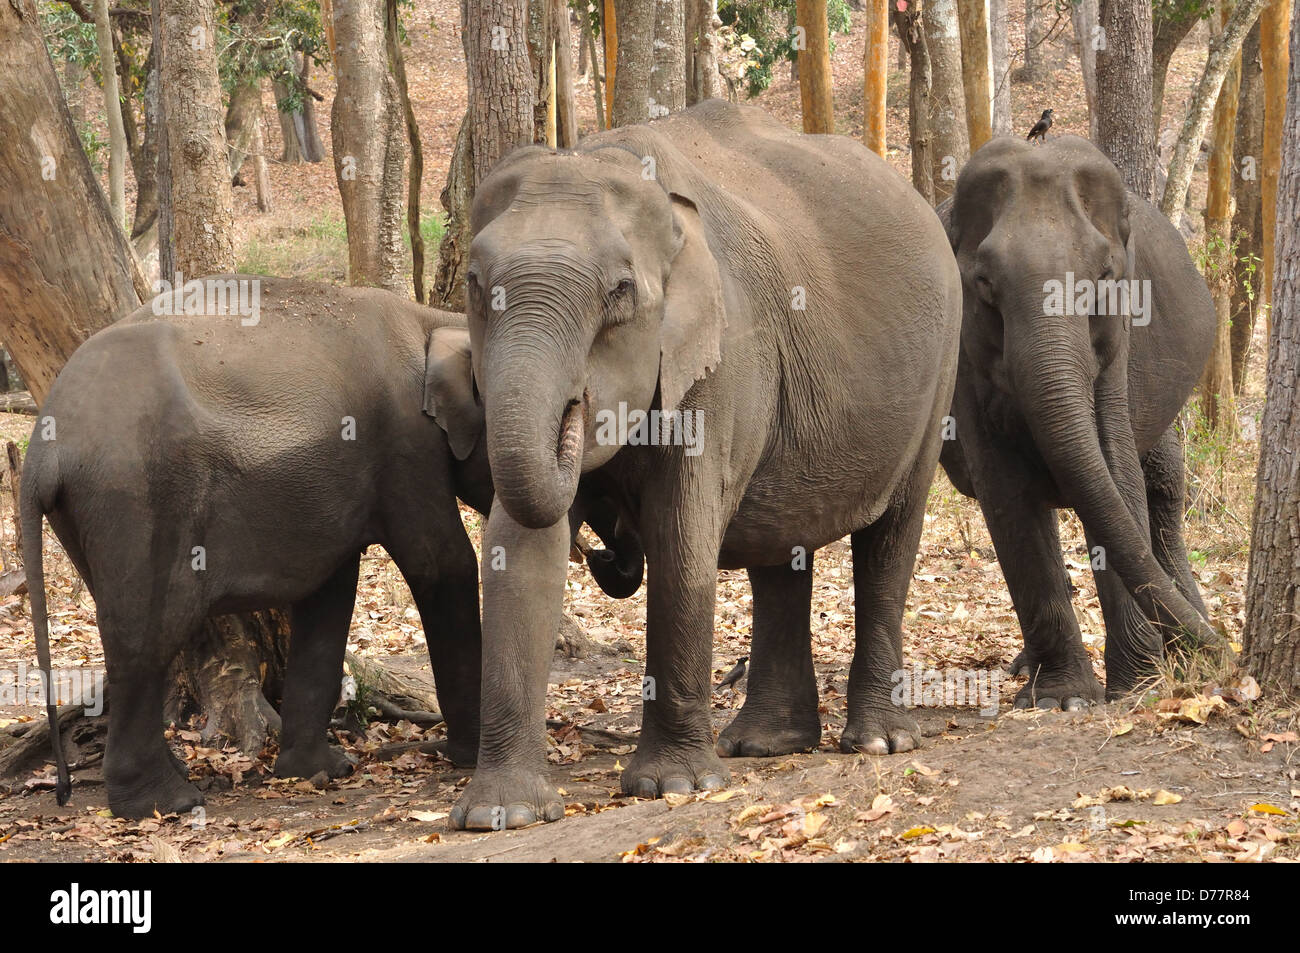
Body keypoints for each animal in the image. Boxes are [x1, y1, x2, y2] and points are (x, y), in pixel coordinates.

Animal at [23, 276, 642, 820]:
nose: (607, 554)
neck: (432, 320)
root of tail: (41, 451)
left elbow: (330, 594)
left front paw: (321, 772)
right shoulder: (405, 442)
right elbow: (443, 564)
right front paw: (463, 759)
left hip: (89, 517)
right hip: (133, 498)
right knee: (147, 637)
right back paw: (167, 803)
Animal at [449, 100, 963, 830]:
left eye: (620, 294)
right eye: (473, 285)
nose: (607, 549)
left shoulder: (721, 358)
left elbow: (682, 539)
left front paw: (673, 785)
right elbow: (517, 550)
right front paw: (502, 815)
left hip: (938, 371)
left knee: (891, 536)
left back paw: (877, 743)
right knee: (783, 548)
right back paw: (765, 744)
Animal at [937, 135, 1228, 707]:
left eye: (1106, 276)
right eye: (983, 283)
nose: (1227, 654)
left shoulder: (1121, 349)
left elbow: (1117, 475)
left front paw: (1137, 683)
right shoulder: (963, 358)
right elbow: (1004, 493)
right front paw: (1062, 697)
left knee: (1162, 486)